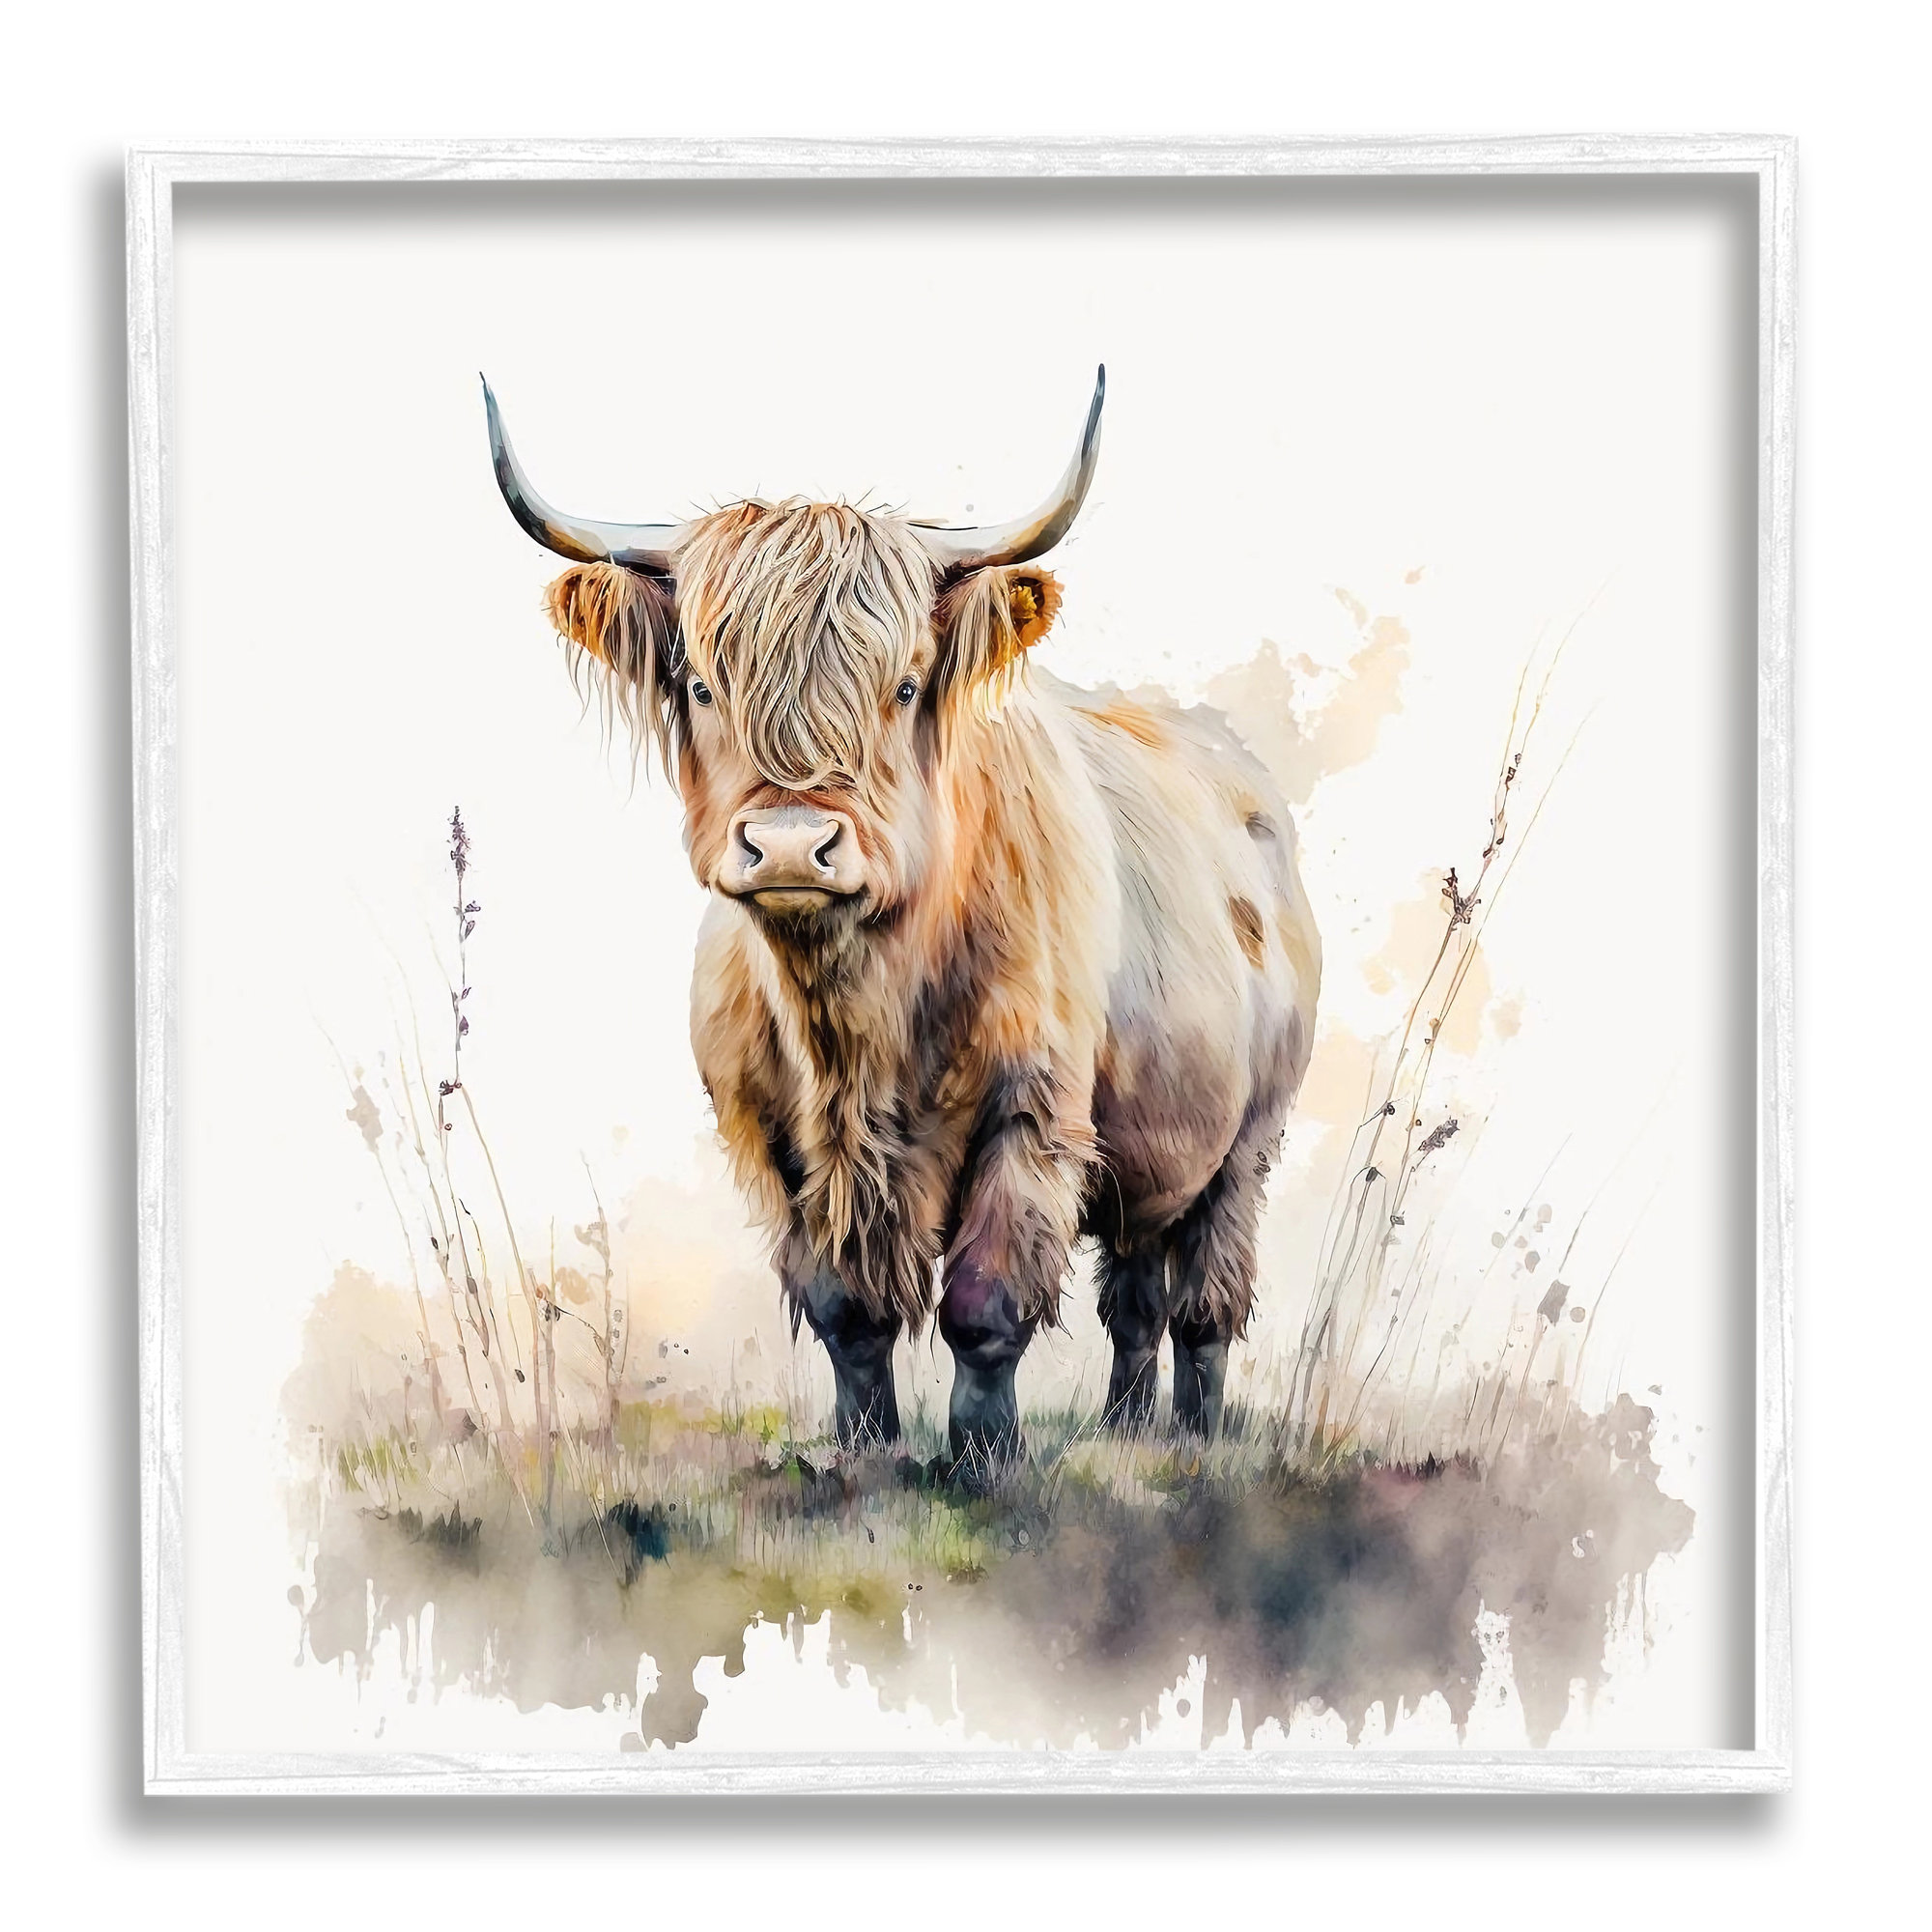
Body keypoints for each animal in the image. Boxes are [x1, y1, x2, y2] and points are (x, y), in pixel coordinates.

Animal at [483, 369, 1320, 1473]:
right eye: (701, 683)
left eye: (906, 684)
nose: (790, 845)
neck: (856, 1019)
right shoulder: (773, 1140)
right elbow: (846, 1309)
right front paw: (865, 1451)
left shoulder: (1033, 1112)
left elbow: (985, 1304)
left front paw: (982, 1457)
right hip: (1150, 1139)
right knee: (1138, 1293)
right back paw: (1126, 1431)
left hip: (1248, 1139)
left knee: (1205, 1300)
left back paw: (1192, 1436)